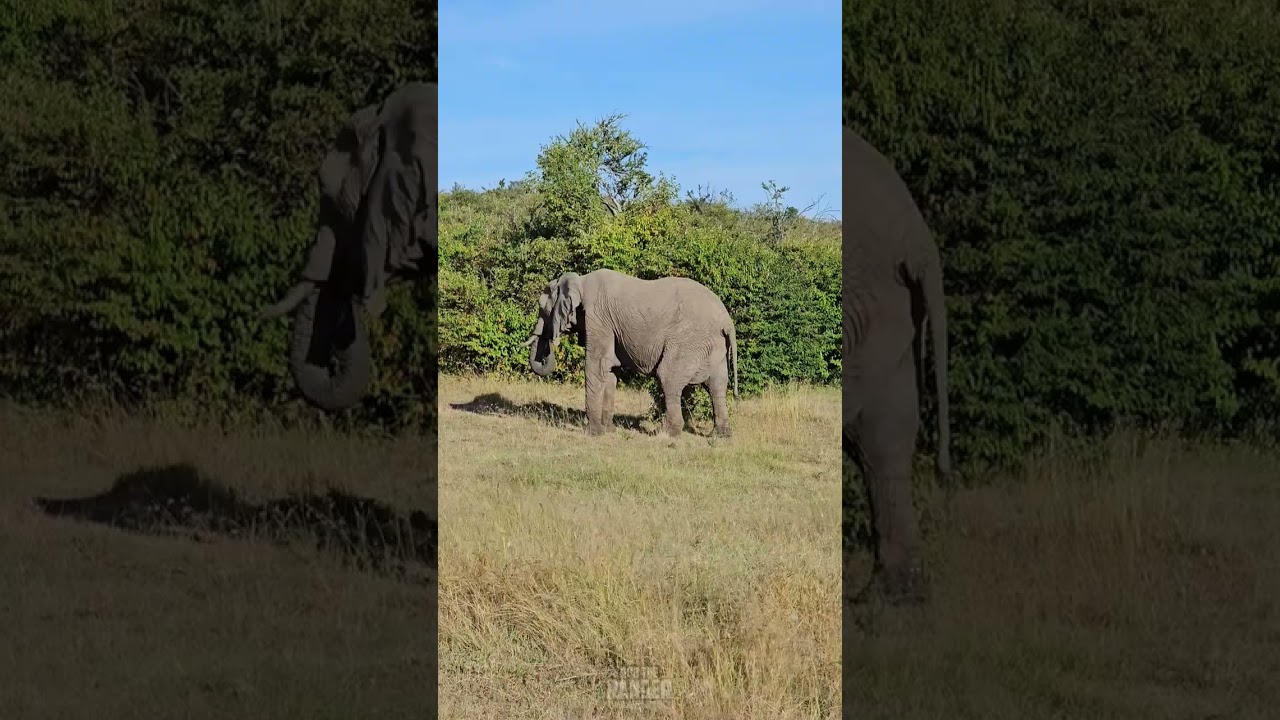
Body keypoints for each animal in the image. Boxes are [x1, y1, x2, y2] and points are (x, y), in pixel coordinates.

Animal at [525, 268, 740, 438]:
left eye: (542, 308)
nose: (550, 342)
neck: (581, 280)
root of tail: (727, 321)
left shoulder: (598, 317)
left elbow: (596, 365)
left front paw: (593, 433)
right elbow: (610, 371)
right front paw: (609, 431)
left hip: (688, 341)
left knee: (668, 378)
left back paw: (666, 434)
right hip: (714, 346)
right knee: (717, 386)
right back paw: (720, 436)